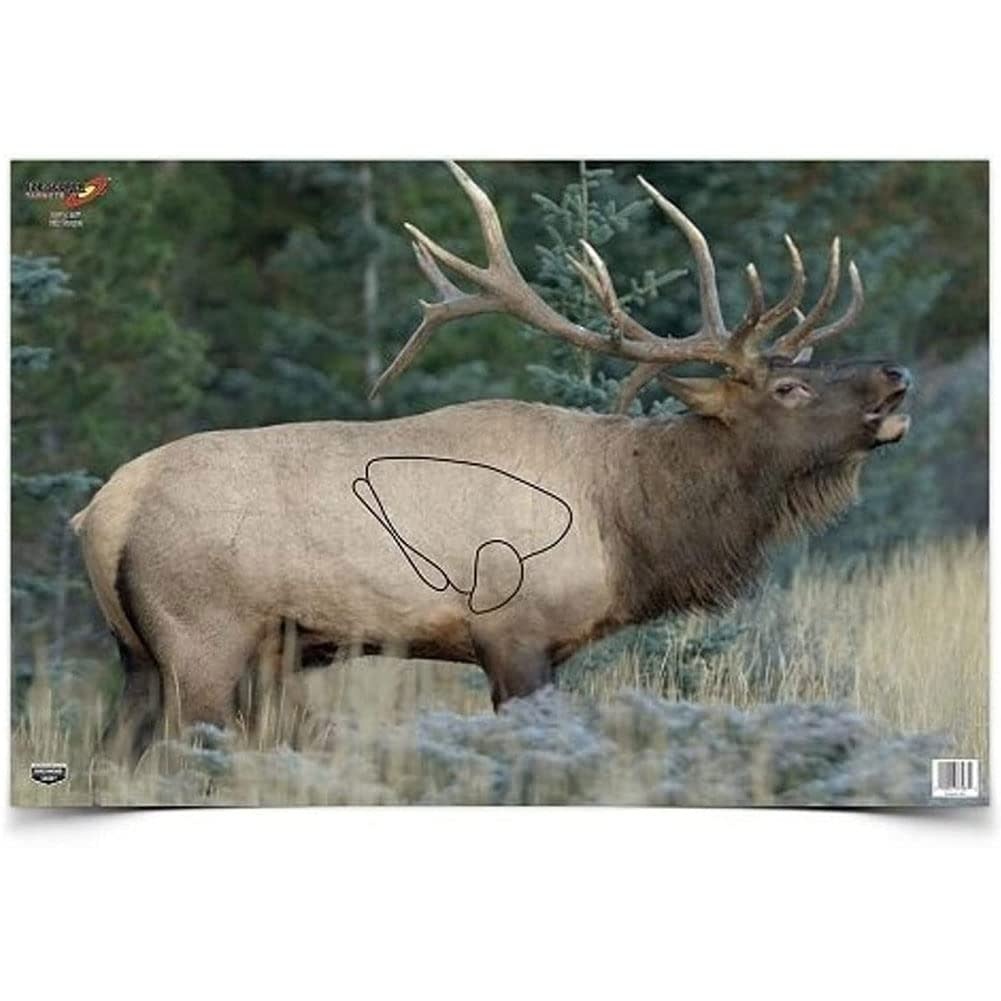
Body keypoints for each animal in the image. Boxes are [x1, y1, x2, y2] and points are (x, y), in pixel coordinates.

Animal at [71, 162, 912, 760]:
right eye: (788, 385)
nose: (896, 373)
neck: (627, 523)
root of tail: (100, 511)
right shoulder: (514, 635)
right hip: (202, 636)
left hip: (139, 655)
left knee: (111, 760)